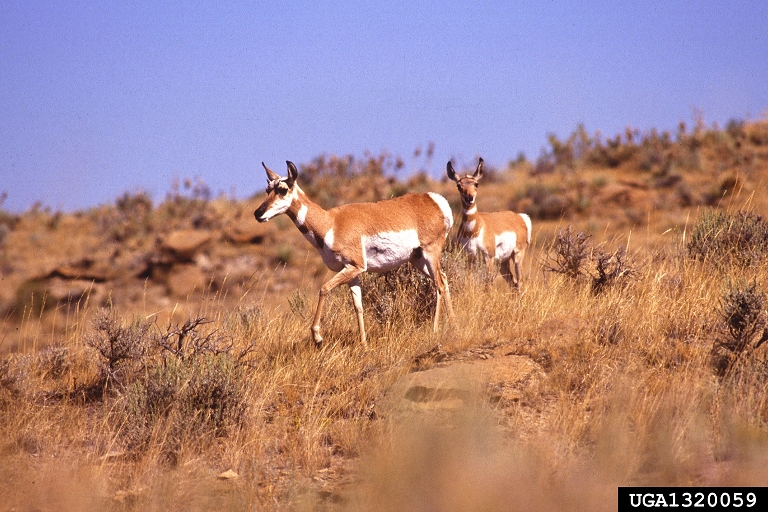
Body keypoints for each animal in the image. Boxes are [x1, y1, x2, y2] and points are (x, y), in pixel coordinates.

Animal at [254, 161, 455, 346]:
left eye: (282, 189)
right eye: (267, 189)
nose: (258, 213)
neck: (331, 223)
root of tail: (434, 200)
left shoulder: (354, 266)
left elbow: (324, 288)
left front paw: (317, 336)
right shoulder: (352, 272)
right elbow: (358, 307)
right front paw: (364, 344)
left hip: (430, 252)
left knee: (439, 284)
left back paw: (435, 329)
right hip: (417, 259)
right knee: (444, 279)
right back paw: (454, 324)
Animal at [447, 157, 532, 287]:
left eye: (476, 184)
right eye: (458, 185)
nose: (469, 198)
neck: (474, 229)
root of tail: (519, 216)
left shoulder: (488, 257)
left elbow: (488, 284)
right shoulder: (470, 258)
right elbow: (469, 280)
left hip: (517, 255)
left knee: (519, 281)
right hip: (503, 262)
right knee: (513, 283)